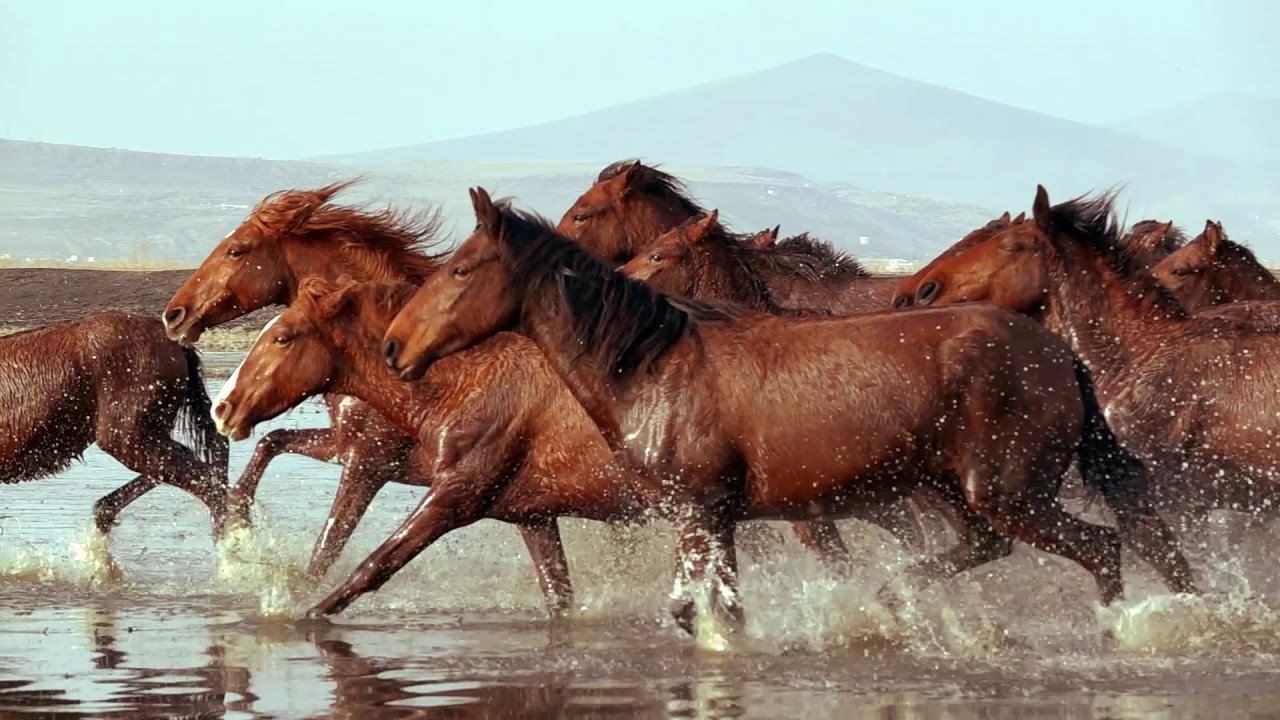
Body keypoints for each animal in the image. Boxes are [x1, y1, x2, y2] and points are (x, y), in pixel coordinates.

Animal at [210, 277, 660, 619]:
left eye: (282, 337)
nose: (223, 407)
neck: (466, 388)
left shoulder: (447, 495)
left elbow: (365, 561)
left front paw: (298, 612)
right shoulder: (532, 517)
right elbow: (558, 595)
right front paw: (234, 526)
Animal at [381, 187, 1137, 635]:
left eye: (459, 269)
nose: (393, 346)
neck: (653, 368)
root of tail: (1059, 354)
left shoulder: (702, 510)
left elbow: (705, 612)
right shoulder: (709, 519)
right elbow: (704, 609)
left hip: (1005, 492)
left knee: (1100, 548)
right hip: (952, 492)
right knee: (981, 548)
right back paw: (894, 602)